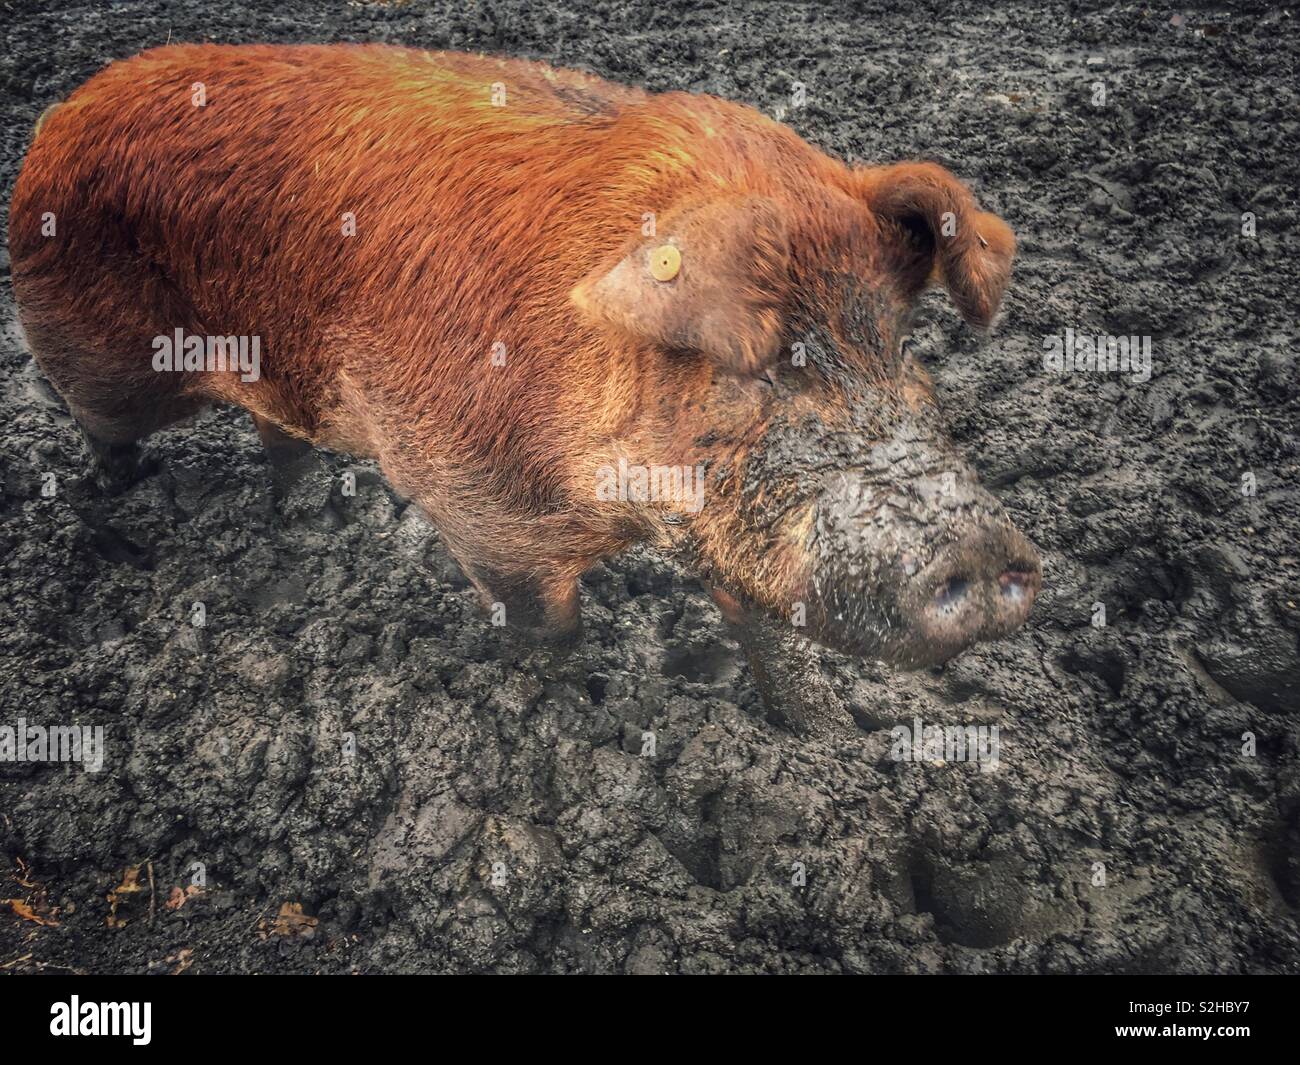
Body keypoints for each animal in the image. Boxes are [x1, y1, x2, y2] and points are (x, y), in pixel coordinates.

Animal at [9, 44, 1041, 735]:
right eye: (762, 366)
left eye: (897, 343)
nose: (985, 543)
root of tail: (59, 116)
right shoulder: (473, 500)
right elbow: (548, 623)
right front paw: (568, 704)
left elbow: (767, 625)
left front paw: (822, 734)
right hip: (95, 355)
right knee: (104, 434)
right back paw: (117, 520)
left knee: (279, 439)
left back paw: (298, 518)